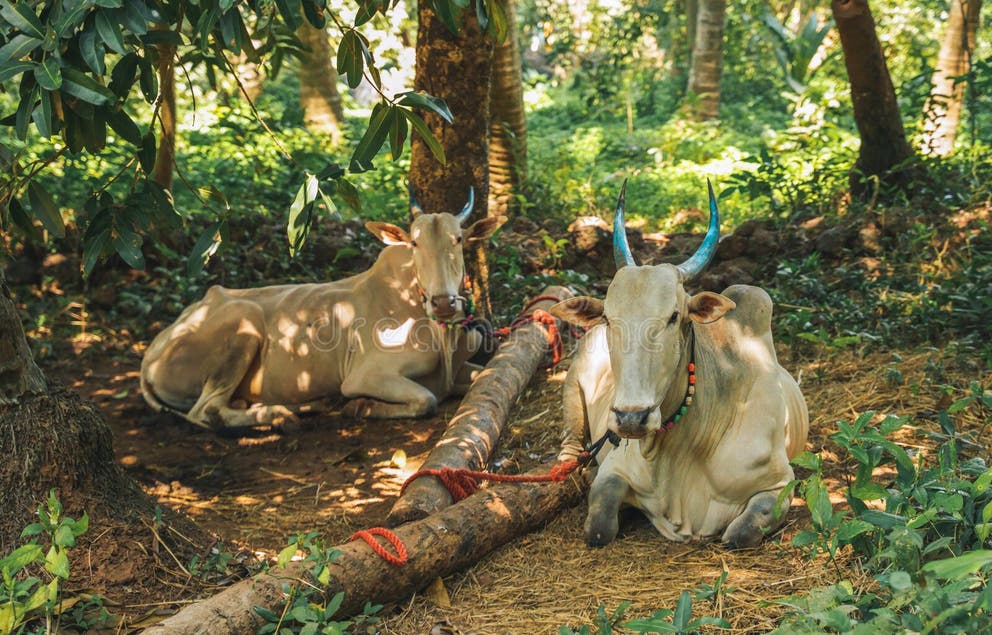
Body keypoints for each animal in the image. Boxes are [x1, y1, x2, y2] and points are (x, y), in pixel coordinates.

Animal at [140, 189, 506, 432]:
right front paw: (359, 406)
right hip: (242, 320)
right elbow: (426, 400)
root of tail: (152, 353)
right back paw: (278, 416)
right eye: (415, 243)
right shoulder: (367, 374)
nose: (443, 302)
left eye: (458, 239)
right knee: (206, 411)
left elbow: (480, 375)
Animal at [550, 181, 809, 548]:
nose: (631, 417)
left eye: (674, 316)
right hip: (572, 384)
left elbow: (740, 533)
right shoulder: (617, 466)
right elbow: (599, 523)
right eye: (610, 319)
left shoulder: (779, 481)